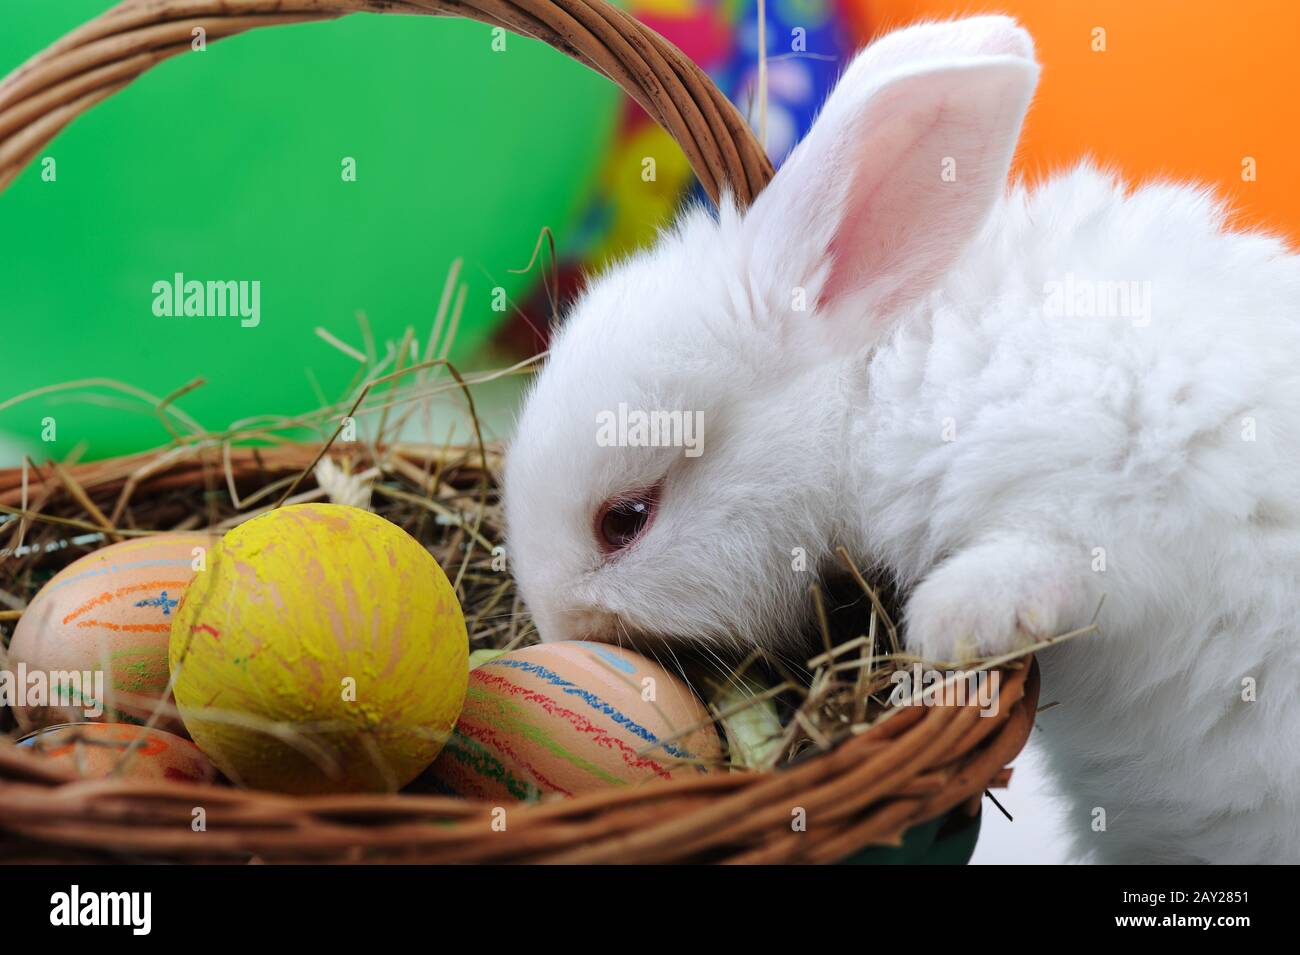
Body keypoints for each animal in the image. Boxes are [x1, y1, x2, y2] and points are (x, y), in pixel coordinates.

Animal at [503, 15, 1300, 863]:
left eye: (625, 519)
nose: (554, 632)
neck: (871, 390)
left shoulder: (1154, 474)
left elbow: (1071, 559)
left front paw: (951, 621)